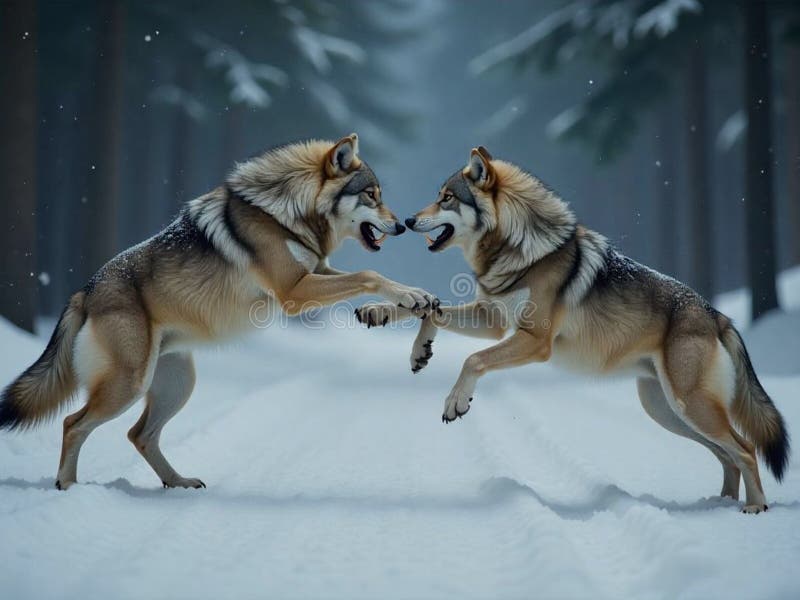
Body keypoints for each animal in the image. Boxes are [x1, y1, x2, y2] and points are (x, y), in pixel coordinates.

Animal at [0, 134, 437, 490]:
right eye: (371, 196)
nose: (402, 226)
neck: (286, 213)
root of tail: (84, 290)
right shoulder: (293, 291)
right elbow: (368, 273)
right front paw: (412, 296)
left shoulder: (316, 271)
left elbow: (376, 275)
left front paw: (416, 297)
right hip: (130, 385)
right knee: (73, 424)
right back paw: (68, 487)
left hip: (177, 385)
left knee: (138, 435)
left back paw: (178, 482)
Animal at [356, 146, 789, 513]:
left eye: (447, 198)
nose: (408, 220)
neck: (519, 251)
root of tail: (719, 316)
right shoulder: (493, 320)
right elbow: (429, 309)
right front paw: (402, 334)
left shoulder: (534, 341)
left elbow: (473, 359)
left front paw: (456, 402)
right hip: (666, 411)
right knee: (727, 455)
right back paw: (719, 505)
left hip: (688, 406)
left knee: (745, 448)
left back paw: (754, 508)